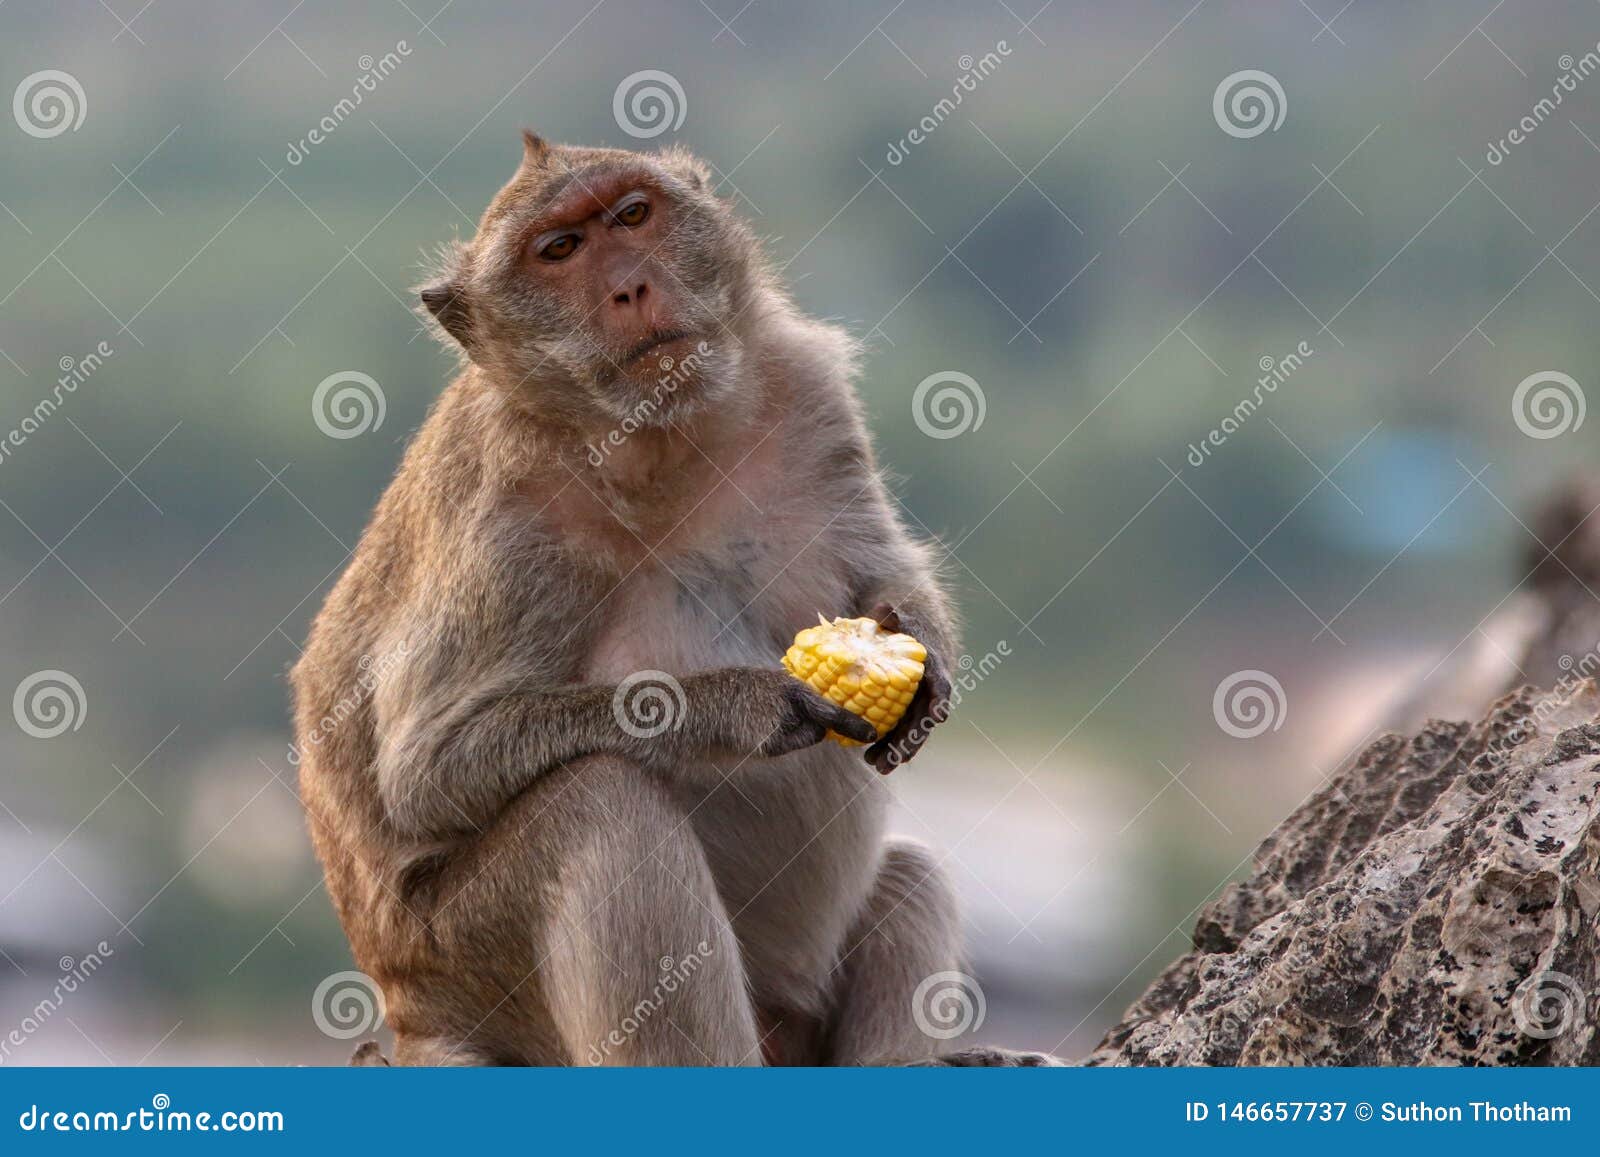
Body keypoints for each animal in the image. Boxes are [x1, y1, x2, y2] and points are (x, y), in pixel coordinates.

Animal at [292, 131, 1057, 1067]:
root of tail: (411, 1019)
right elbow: (429, 767)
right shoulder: (507, 524)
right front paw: (747, 705)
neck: (656, 440)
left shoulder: (806, 388)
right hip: (470, 967)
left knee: (912, 873)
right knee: (599, 805)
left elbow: (879, 567)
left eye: (631, 214)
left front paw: (918, 652)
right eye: (558, 250)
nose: (630, 286)